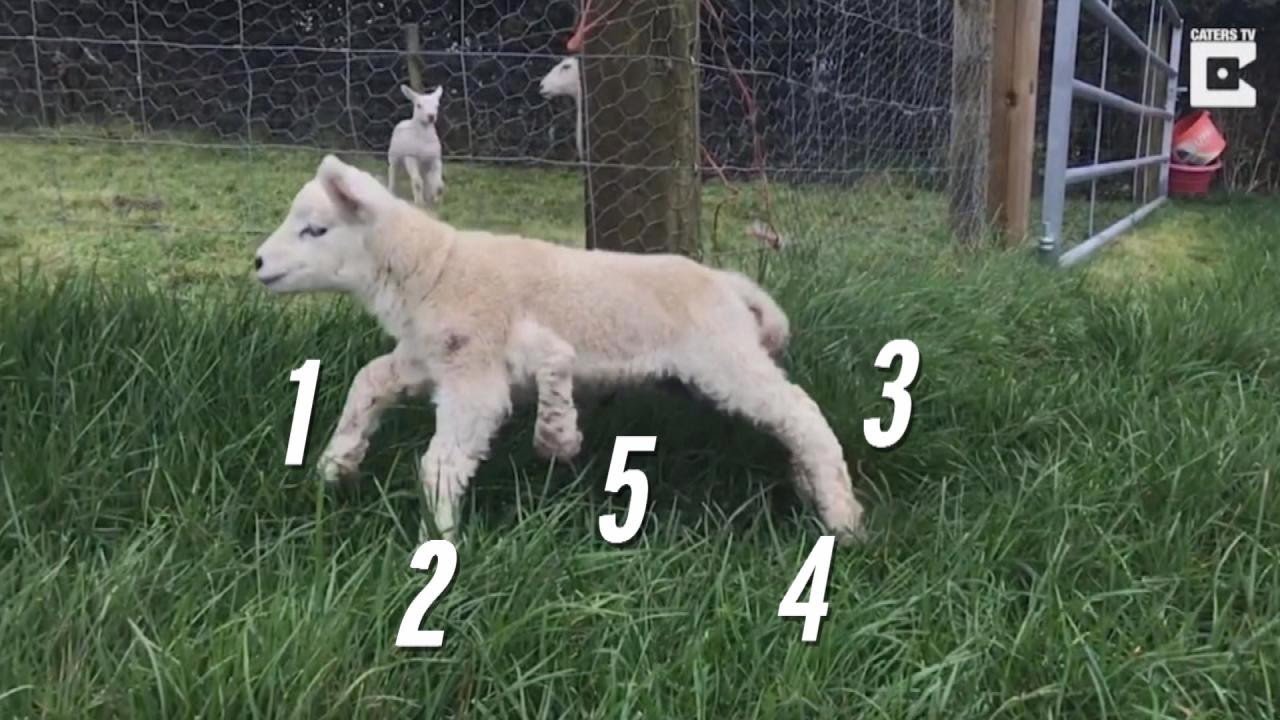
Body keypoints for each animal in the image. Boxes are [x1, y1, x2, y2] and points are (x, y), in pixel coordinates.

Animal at [251, 154, 864, 547]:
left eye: (315, 230)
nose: (257, 263)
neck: (433, 269)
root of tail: (728, 284)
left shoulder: (475, 375)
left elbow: (441, 462)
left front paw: (436, 543)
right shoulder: (429, 358)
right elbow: (369, 382)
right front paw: (334, 466)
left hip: (725, 357)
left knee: (801, 413)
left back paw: (843, 518)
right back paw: (809, 487)